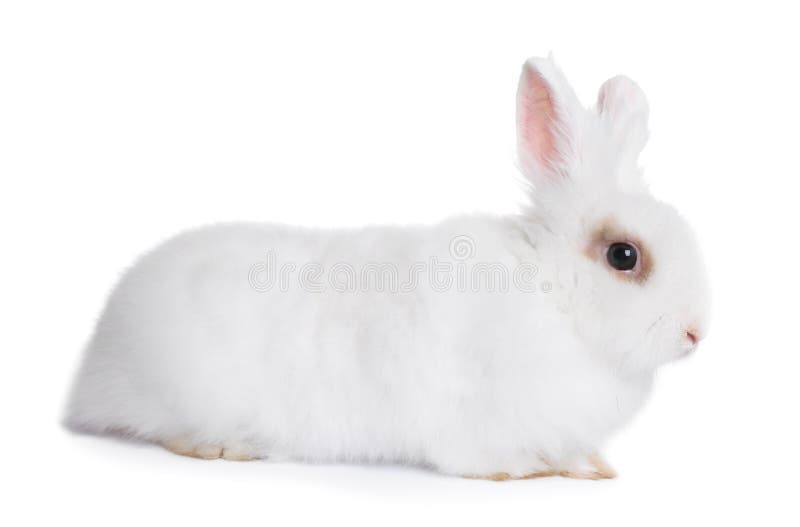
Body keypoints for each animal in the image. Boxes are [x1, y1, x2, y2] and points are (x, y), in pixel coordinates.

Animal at [65, 56, 710, 480]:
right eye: (624, 256)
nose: (696, 333)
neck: (555, 299)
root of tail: (97, 362)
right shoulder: (477, 423)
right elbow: (490, 461)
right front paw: (534, 471)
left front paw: (595, 467)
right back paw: (229, 450)